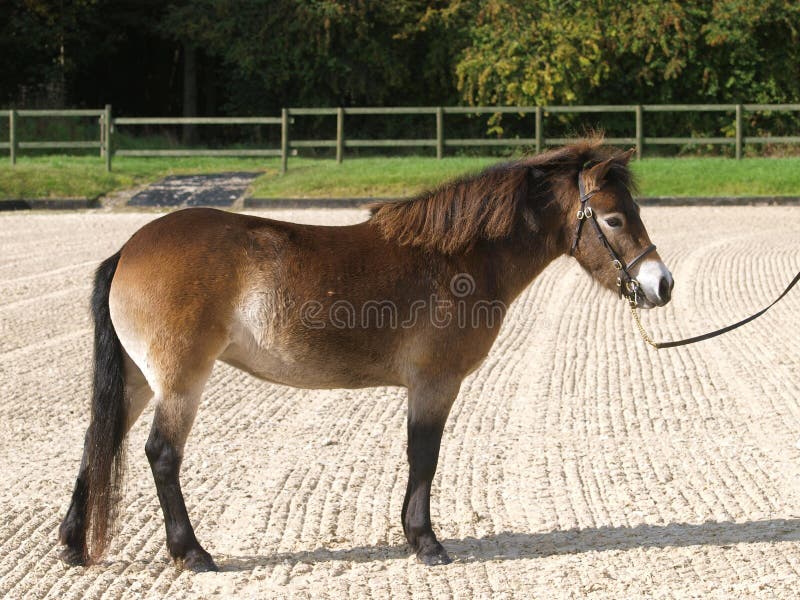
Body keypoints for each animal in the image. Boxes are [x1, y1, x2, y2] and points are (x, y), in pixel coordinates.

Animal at [58, 140, 673, 570]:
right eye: (614, 218)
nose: (661, 284)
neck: (457, 258)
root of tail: (129, 248)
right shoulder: (434, 383)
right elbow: (424, 457)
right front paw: (425, 542)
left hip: (140, 380)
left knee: (98, 440)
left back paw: (71, 544)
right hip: (180, 381)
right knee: (161, 454)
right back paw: (192, 552)